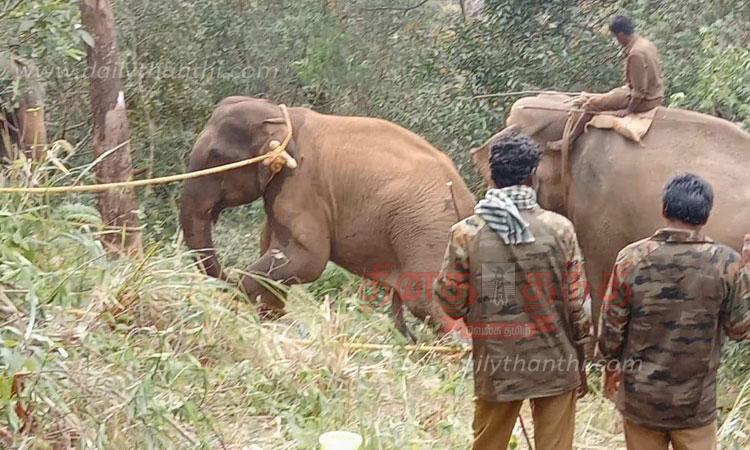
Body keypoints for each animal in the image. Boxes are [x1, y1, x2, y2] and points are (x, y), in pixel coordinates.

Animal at [180, 97, 476, 340]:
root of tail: (467, 200)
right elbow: (276, 248)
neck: (284, 116)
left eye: (215, 156)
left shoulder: (301, 184)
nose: (226, 274)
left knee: (426, 300)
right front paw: (270, 317)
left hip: (427, 231)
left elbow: (309, 259)